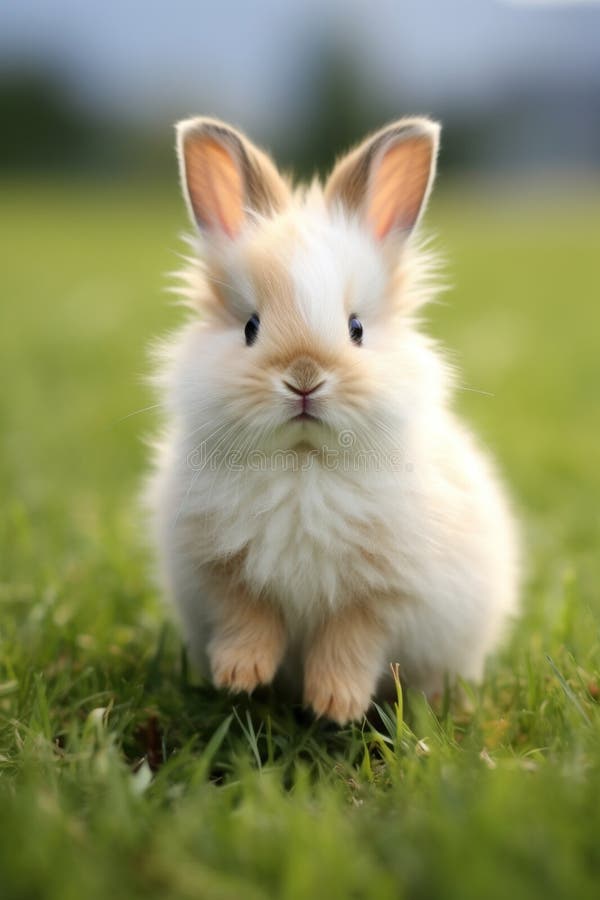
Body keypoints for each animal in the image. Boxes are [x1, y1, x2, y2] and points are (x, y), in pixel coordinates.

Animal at [146, 115, 519, 725]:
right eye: (250, 326)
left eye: (357, 329)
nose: (304, 377)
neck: (304, 462)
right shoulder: (224, 573)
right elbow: (249, 620)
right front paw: (239, 676)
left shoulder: (382, 592)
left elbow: (350, 641)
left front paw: (334, 704)